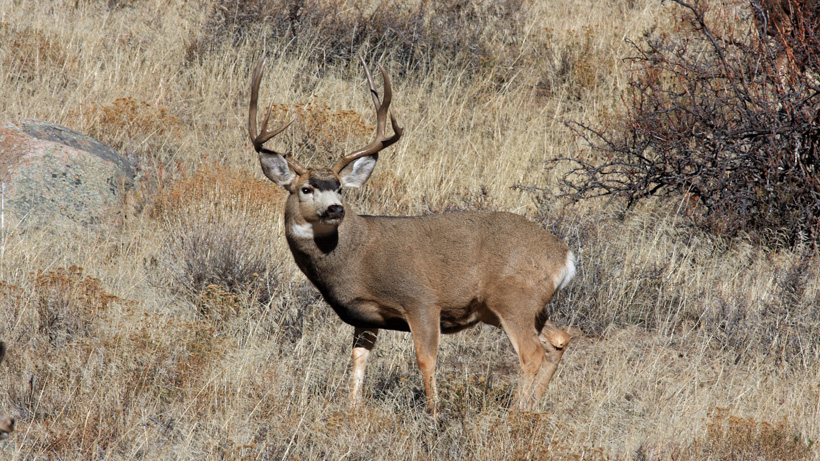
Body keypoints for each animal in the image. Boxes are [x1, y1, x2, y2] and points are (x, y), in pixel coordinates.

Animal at [247, 56, 576, 415]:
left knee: (531, 353)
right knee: (558, 340)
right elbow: (358, 361)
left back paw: (516, 413)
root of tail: (565, 255)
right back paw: (532, 407)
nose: (335, 209)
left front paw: (433, 414)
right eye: (305, 188)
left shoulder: (421, 299)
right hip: (524, 306)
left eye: (339, 187)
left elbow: (425, 359)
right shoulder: (365, 316)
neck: (354, 257)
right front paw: (353, 410)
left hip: (513, 297)